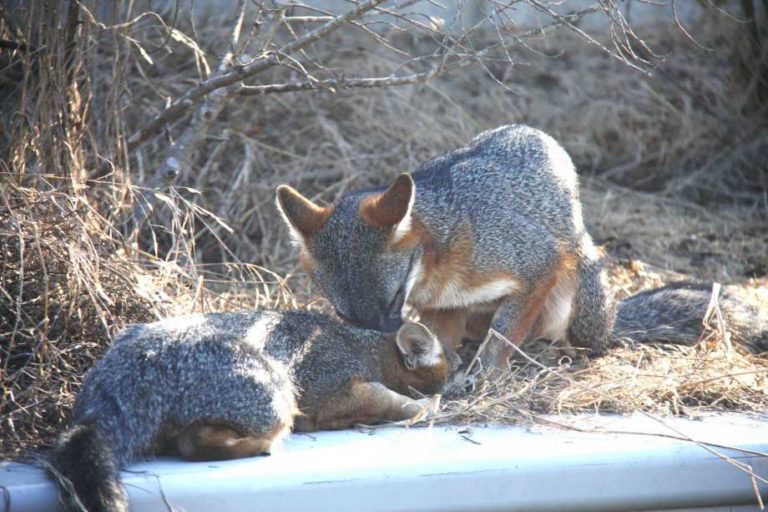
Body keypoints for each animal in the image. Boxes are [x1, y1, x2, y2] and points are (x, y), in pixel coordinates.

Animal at [49, 311, 460, 512]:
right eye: (456, 369)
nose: (469, 373)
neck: (361, 346)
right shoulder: (334, 390)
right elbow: (387, 399)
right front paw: (423, 407)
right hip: (280, 395)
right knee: (193, 443)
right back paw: (264, 445)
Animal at [276, 124, 613, 375]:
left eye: (394, 299)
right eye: (343, 315)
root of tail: (528, 129)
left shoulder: (538, 262)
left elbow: (503, 333)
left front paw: (489, 373)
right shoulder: (443, 307)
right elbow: (442, 341)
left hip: (583, 305)